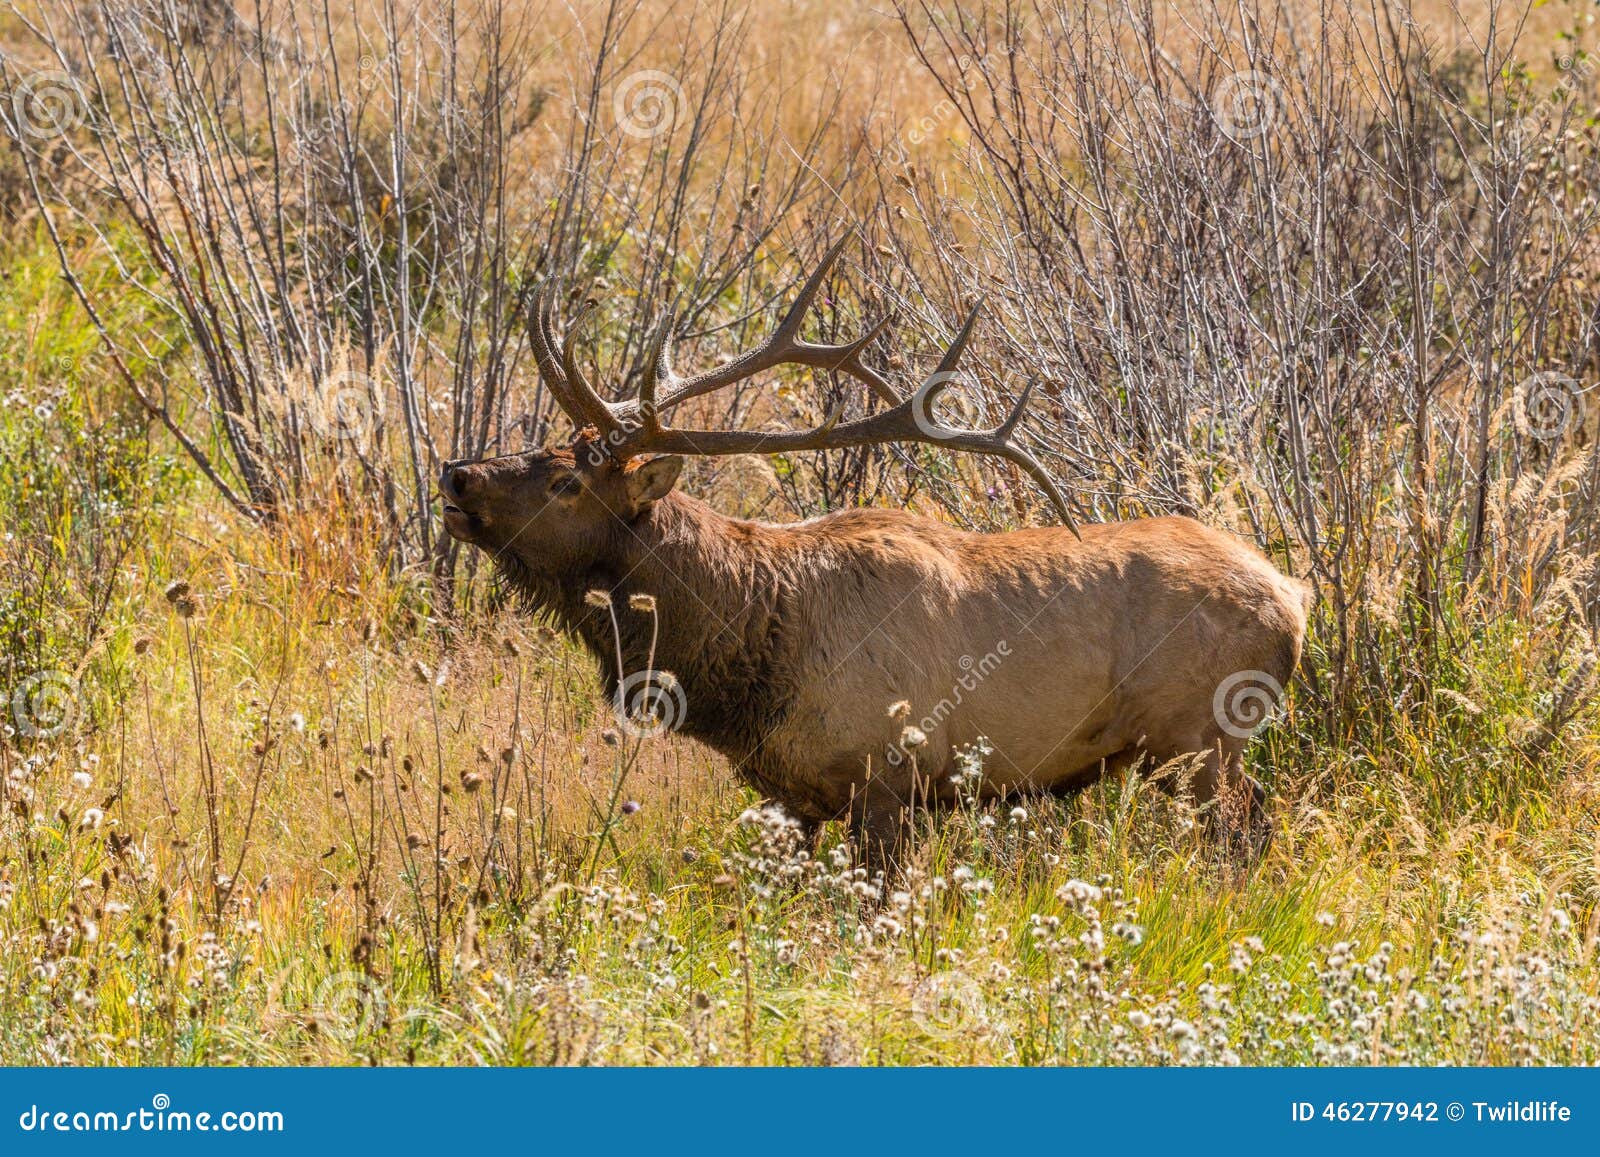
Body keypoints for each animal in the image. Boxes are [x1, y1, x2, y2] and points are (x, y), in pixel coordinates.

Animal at [438, 240, 1312, 867]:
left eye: (565, 482)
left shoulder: (888, 779)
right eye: (545, 449)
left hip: (1200, 735)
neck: (748, 652)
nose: (456, 473)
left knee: (1247, 830)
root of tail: (1294, 597)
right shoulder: (789, 794)